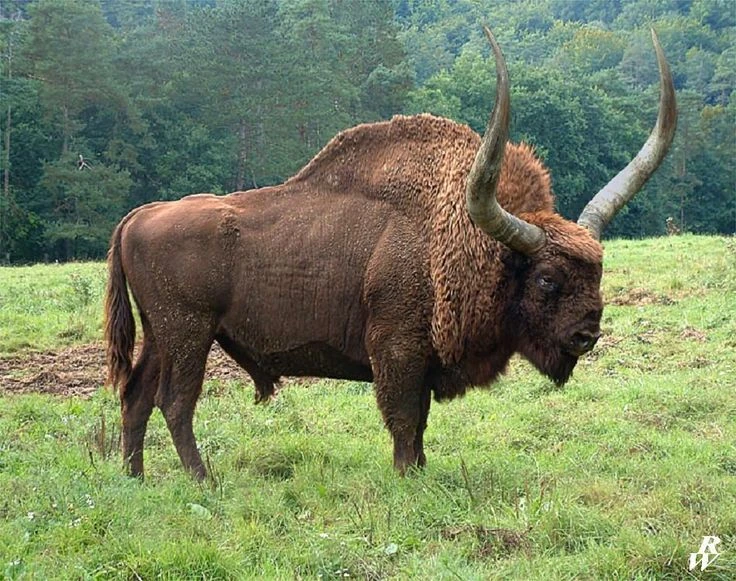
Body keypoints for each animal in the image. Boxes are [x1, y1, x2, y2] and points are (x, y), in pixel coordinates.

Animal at [105, 27, 676, 479]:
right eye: (546, 279)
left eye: (598, 272)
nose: (586, 335)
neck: (469, 240)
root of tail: (137, 217)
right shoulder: (398, 353)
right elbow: (404, 422)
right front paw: (407, 476)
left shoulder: (419, 363)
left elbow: (418, 424)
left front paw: (420, 472)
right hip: (189, 334)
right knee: (174, 402)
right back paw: (202, 479)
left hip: (161, 335)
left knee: (136, 397)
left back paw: (136, 478)